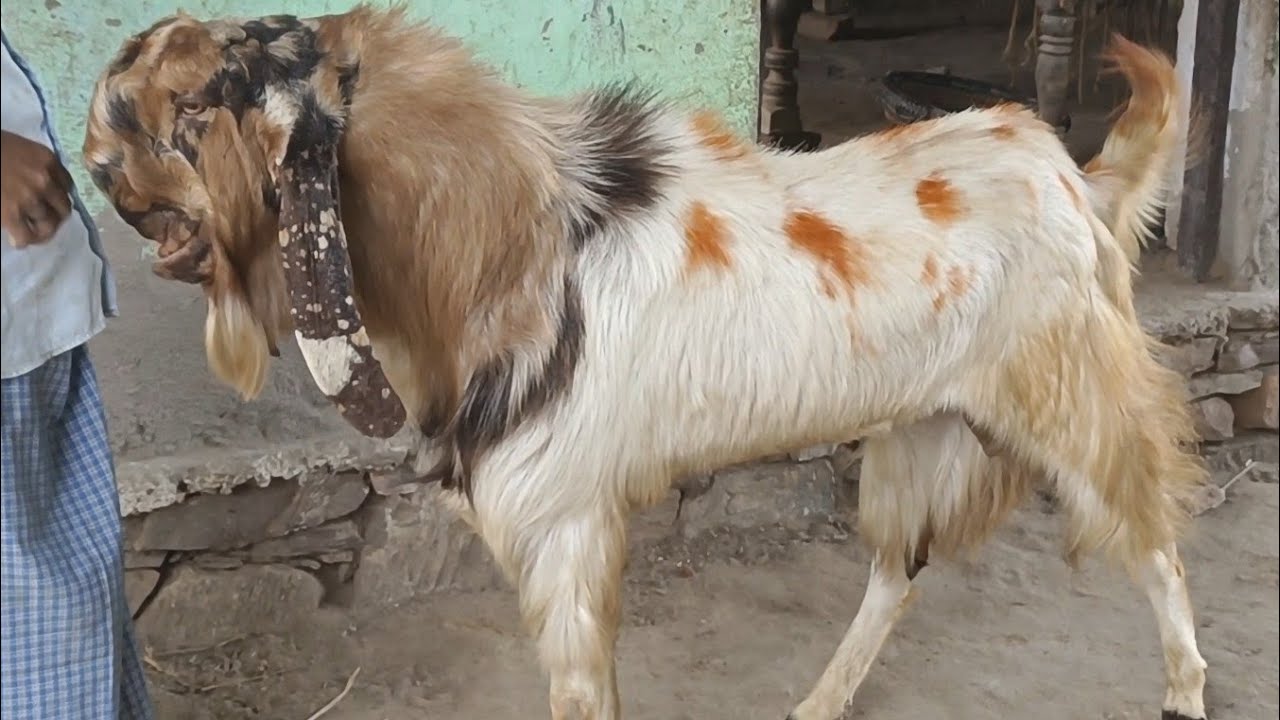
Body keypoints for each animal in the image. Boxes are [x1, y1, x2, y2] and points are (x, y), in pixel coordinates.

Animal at [83, 6, 1211, 719]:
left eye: (180, 113)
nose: (93, 168)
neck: (513, 237)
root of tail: (1074, 177)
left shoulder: (569, 523)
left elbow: (581, 691)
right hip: (920, 429)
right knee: (900, 572)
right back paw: (818, 700)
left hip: (1073, 406)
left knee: (1156, 543)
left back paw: (1182, 692)